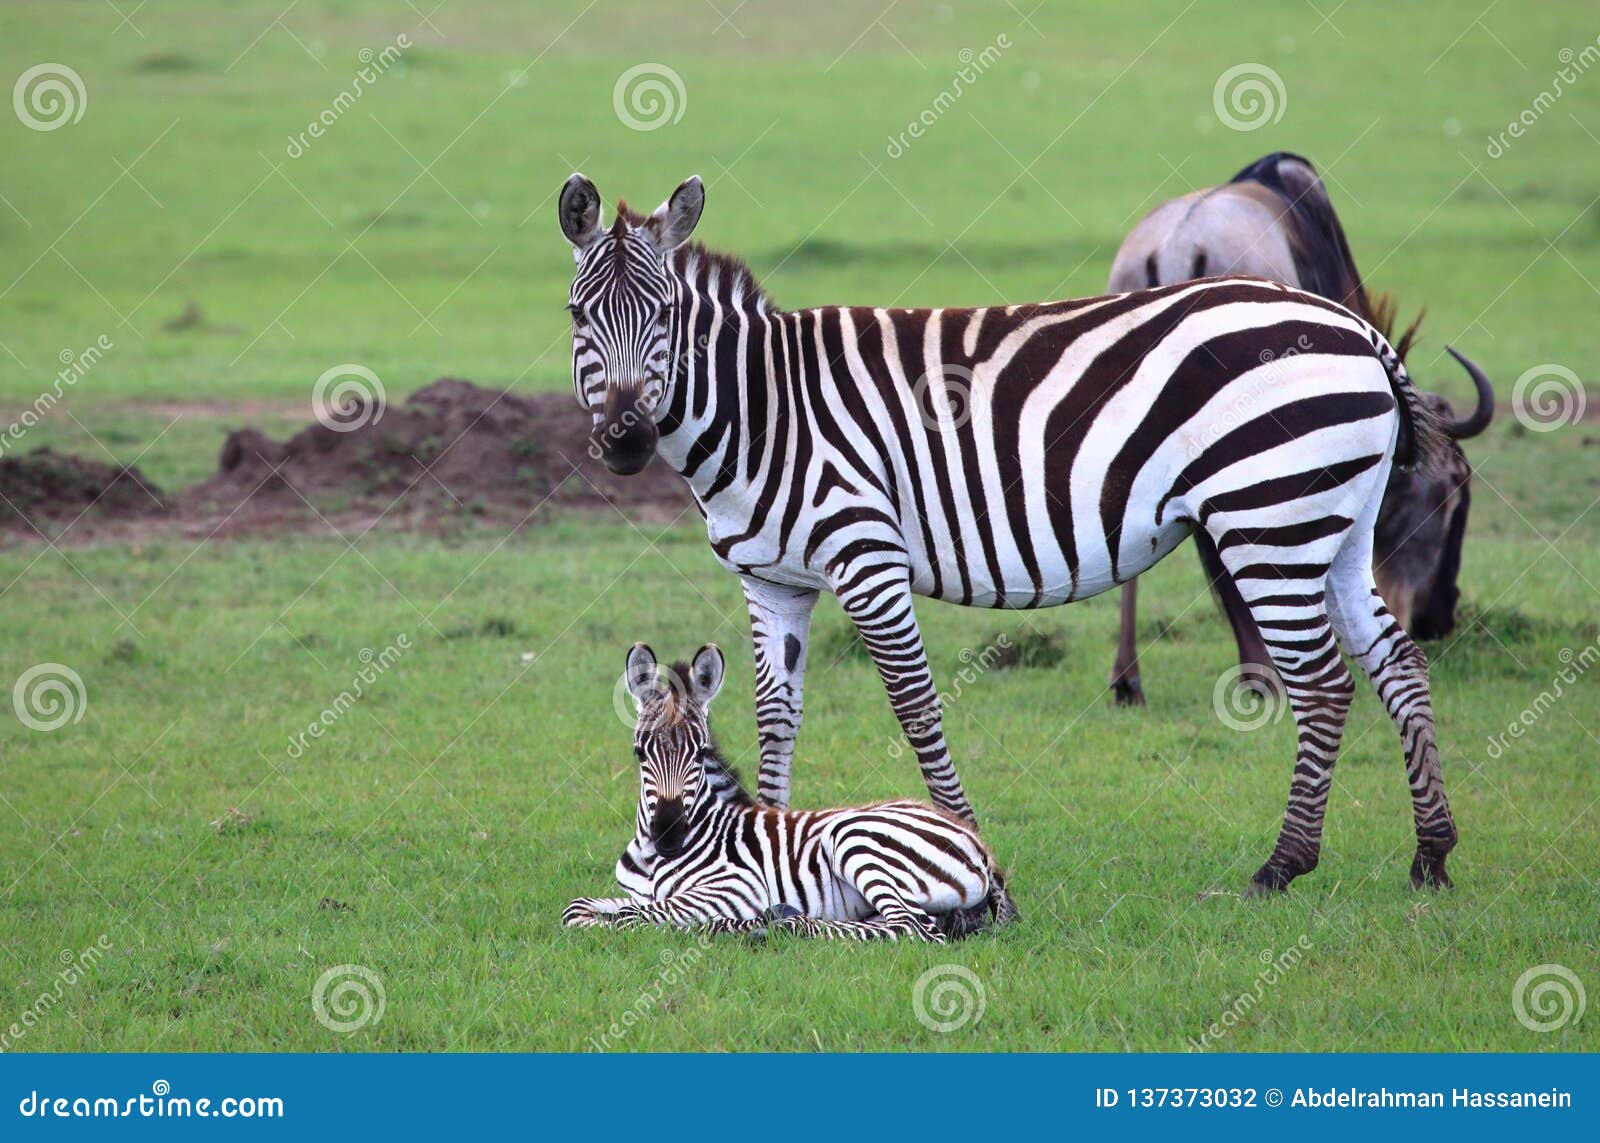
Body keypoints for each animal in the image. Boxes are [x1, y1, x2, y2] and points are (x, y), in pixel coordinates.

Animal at [559, 172, 1459, 894]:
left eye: (666, 313)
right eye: (577, 315)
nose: (627, 441)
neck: (764, 408)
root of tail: (1351, 327)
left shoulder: (866, 555)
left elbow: (916, 705)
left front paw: (968, 839)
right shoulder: (773, 581)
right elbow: (776, 712)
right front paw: (764, 855)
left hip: (1269, 520)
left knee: (1324, 684)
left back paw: (1284, 864)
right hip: (1334, 529)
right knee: (1399, 665)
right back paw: (1431, 854)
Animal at [562, 643, 1017, 941]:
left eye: (701, 753)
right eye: (640, 753)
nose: (668, 836)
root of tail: (976, 842)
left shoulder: (735, 887)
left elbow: (631, 916)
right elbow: (577, 909)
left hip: (854, 838)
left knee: (912, 928)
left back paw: (776, 923)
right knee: (902, 923)